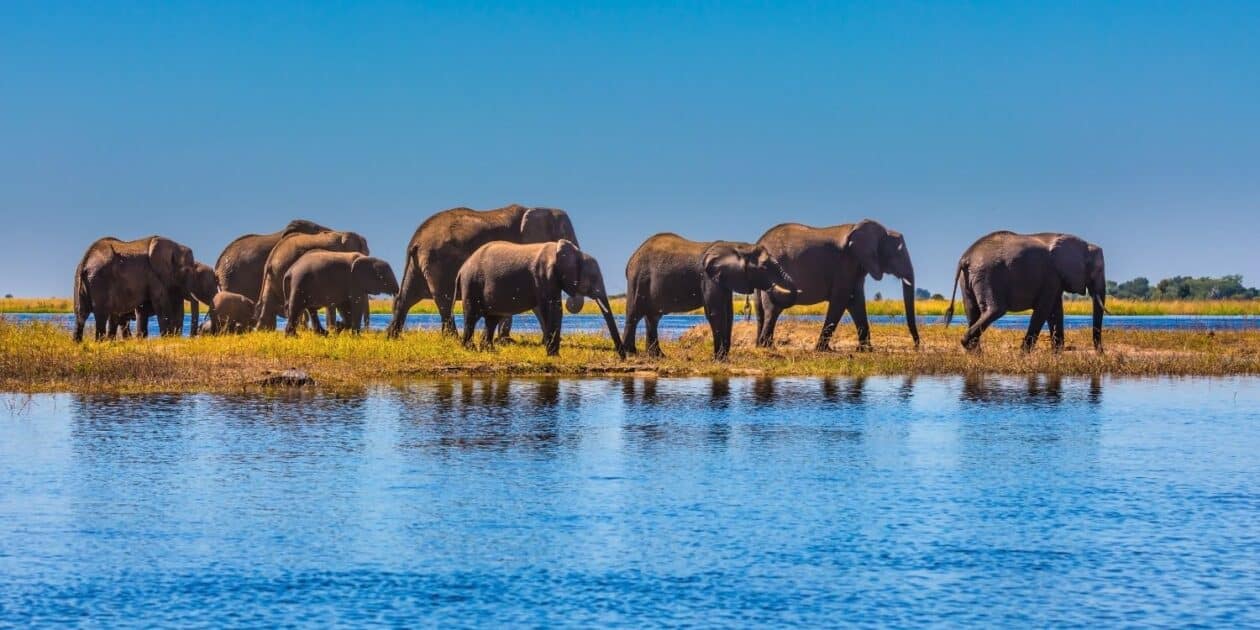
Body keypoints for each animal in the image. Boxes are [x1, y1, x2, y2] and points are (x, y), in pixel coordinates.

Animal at [386, 204, 580, 339]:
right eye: (565, 238)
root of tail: (416, 241)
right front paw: (507, 341)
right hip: (438, 263)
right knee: (445, 300)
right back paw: (452, 339)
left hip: (418, 264)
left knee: (406, 297)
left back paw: (392, 336)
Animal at [455, 239, 624, 358]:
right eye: (594, 277)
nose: (622, 357)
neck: (574, 252)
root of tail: (462, 268)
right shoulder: (544, 276)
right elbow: (551, 308)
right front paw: (553, 356)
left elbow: (556, 308)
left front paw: (554, 355)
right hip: (471, 283)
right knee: (471, 316)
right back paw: (469, 349)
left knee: (492, 319)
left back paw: (489, 350)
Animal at [623, 233, 797, 360]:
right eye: (764, 267)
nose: (772, 286)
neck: (737, 247)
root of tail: (631, 258)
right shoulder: (708, 277)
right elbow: (716, 313)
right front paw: (718, 359)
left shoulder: (724, 279)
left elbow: (728, 314)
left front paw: (724, 358)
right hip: (638, 279)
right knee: (634, 314)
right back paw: (631, 354)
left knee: (653, 318)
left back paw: (658, 357)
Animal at [754, 220, 920, 352]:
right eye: (898, 253)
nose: (916, 346)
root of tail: (759, 241)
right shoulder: (846, 264)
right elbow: (841, 300)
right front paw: (823, 350)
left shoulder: (857, 266)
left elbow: (856, 302)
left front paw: (865, 350)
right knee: (773, 310)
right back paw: (767, 346)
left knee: (760, 310)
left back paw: (759, 345)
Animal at [943, 231, 1106, 352]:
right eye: (1098, 270)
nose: (1100, 352)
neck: (1084, 245)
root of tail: (965, 257)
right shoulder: (1051, 275)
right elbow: (1044, 309)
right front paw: (1024, 353)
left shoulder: (1055, 279)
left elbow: (1055, 311)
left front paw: (1057, 353)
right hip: (988, 274)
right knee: (995, 309)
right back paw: (968, 345)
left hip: (968, 278)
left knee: (972, 311)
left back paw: (975, 352)